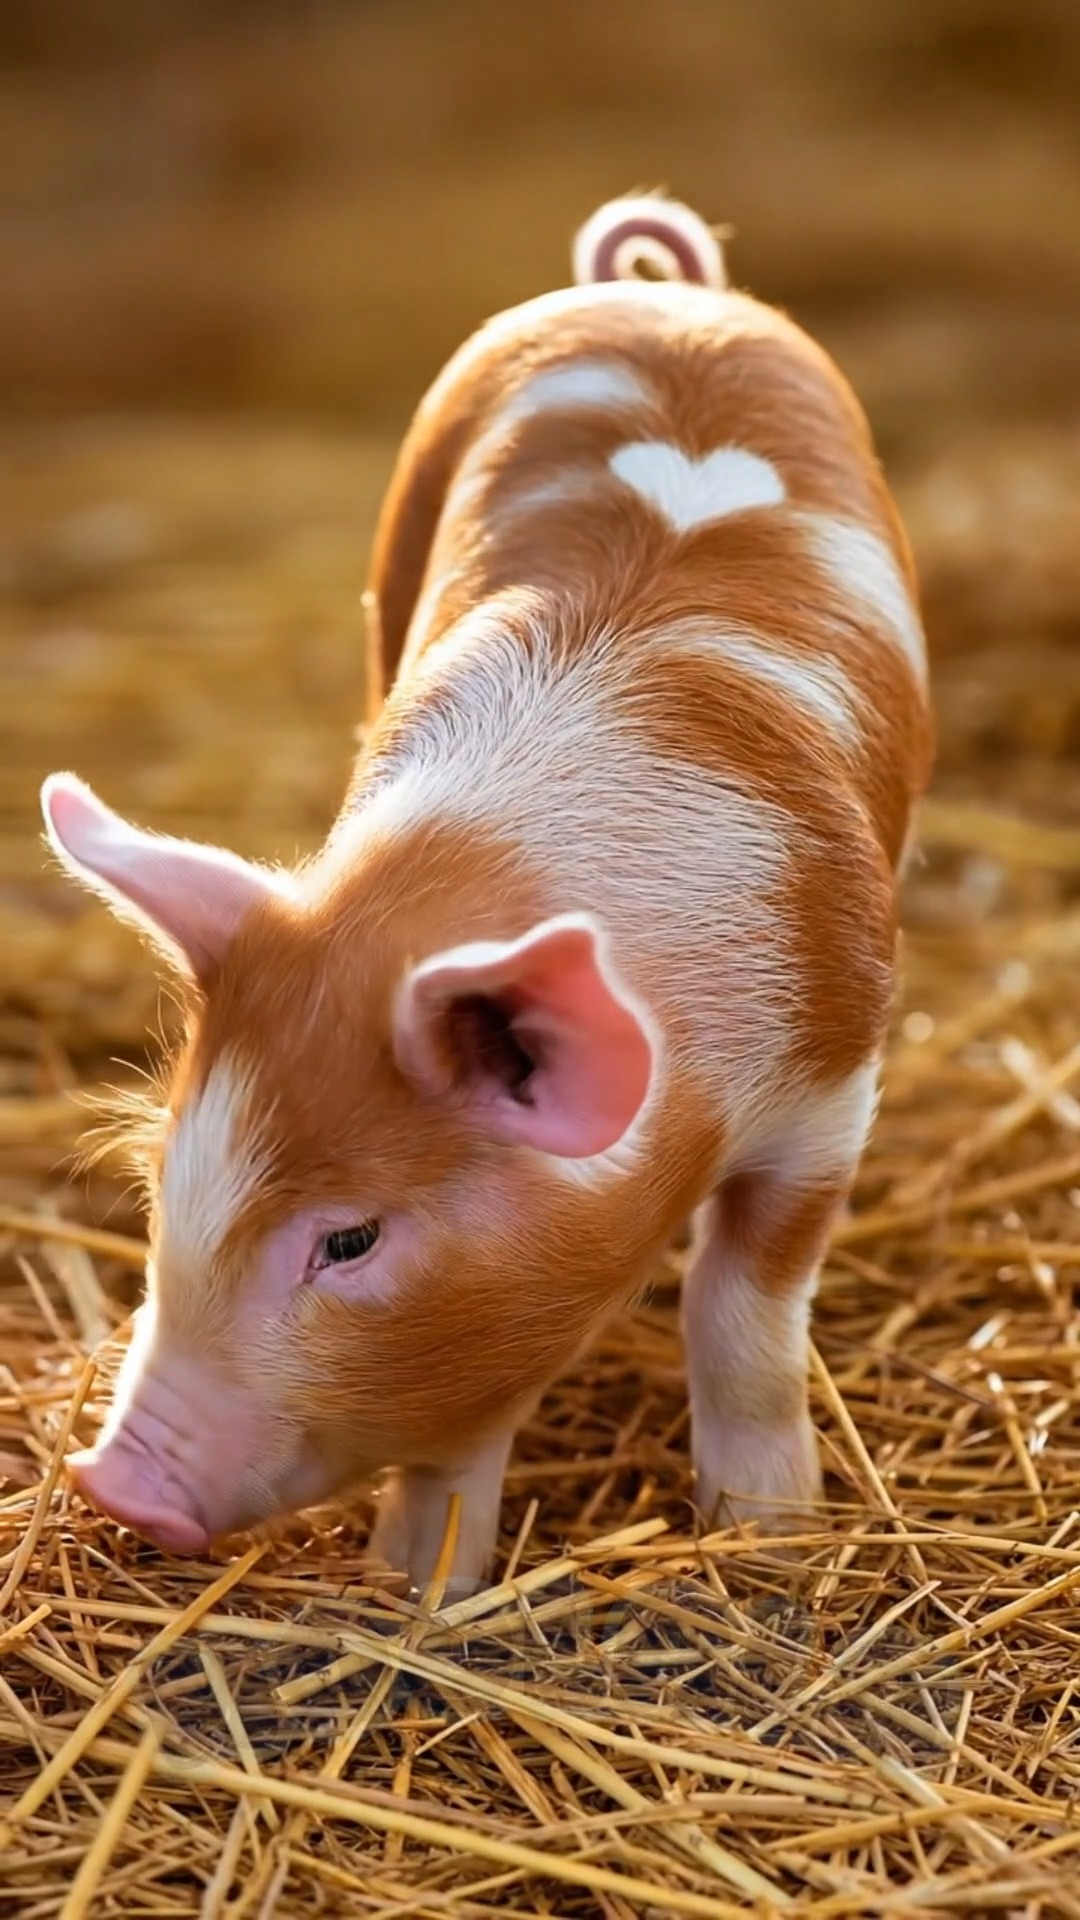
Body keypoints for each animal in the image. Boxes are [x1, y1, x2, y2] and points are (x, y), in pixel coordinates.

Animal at [42, 193, 933, 1595]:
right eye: (166, 1178)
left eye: (351, 1240)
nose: (111, 1483)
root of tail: (657, 291)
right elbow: (455, 1432)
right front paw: (418, 1589)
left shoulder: (835, 1084)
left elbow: (743, 1306)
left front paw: (772, 1540)